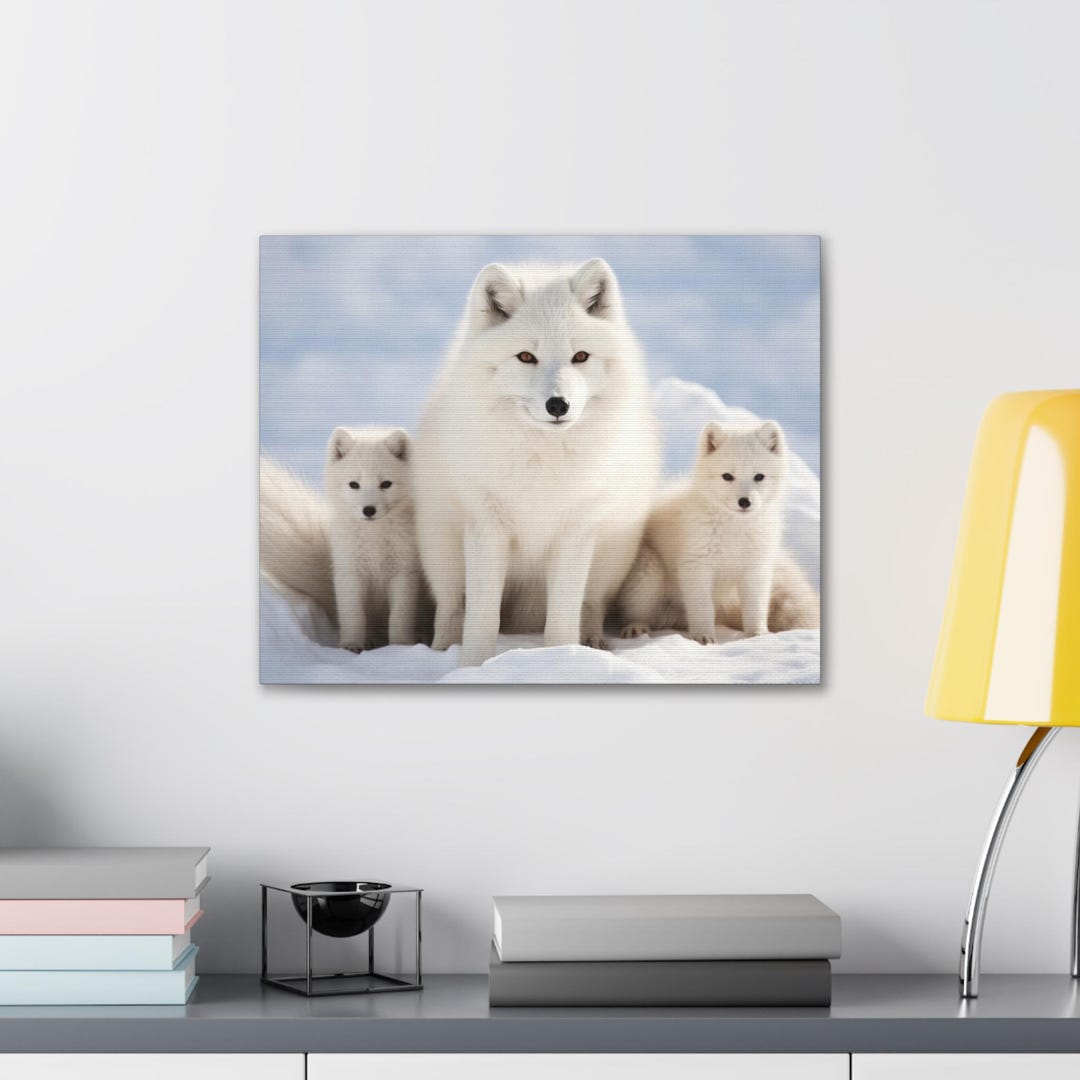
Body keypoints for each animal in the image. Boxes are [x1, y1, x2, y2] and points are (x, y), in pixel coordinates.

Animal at [617, 419, 819, 643]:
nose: (745, 502)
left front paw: (758, 636)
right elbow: (703, 608)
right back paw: (636, 628)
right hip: (648, 573)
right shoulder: (696, 566)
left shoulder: (756, 568)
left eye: (759, 477)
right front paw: (704, 638)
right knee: (636, 612)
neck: (734, 529)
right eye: (727, 476)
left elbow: (756, 610)